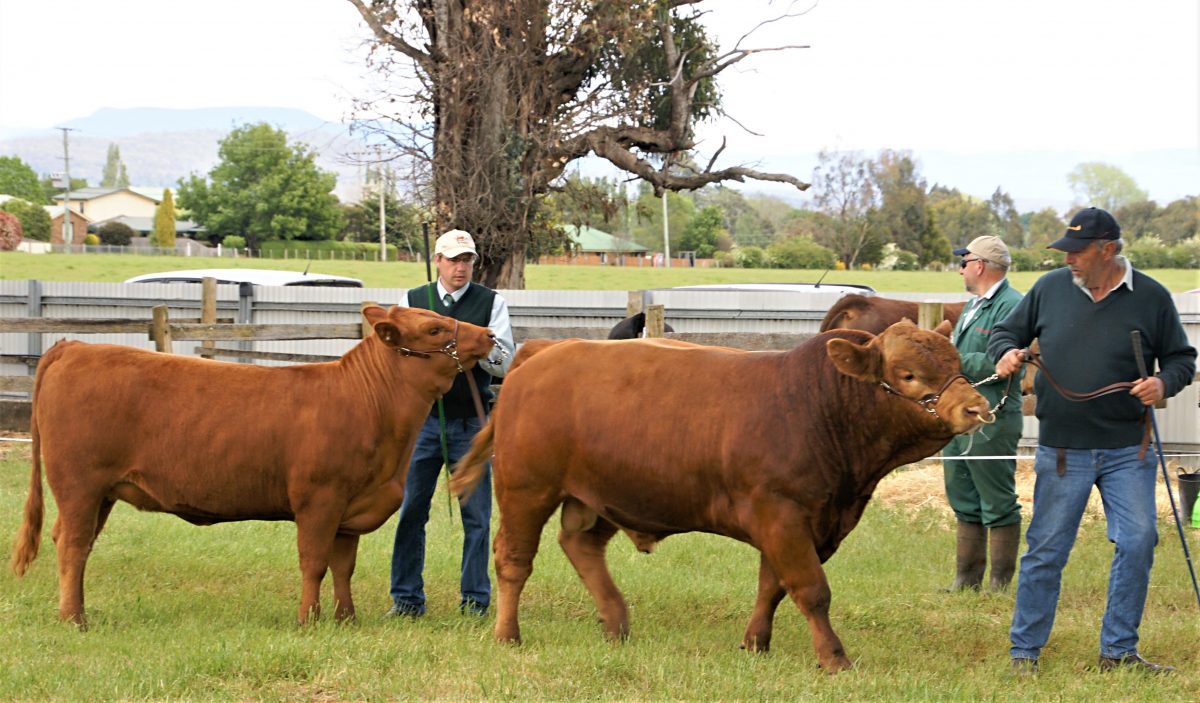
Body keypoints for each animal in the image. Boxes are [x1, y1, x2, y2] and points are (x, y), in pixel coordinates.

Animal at [10, 305, 500, 628]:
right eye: (434, 327)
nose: (490, 335)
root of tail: (74, 346)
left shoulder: (351, 509)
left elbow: (343, 566)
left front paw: (346, 618)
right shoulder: (320, 499)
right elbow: (313, 562)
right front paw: (308, 620)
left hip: (101, 494)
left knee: (75, 543)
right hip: (79, 486)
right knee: (72, 544)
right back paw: (74, 619)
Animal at [450, 321, 990, 672]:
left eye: (956, 361)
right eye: (908, 374)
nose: (976, 407)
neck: (815, 406)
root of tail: (542, 352)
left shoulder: (799, 521)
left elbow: (773, 585)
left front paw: (756, 644)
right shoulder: (781, 514)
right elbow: (810, 589)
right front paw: (834, 659)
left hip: (602, 493)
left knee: (581, 546)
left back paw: (617, 623)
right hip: (527, 488)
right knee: (513, 559)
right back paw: (509, 635)